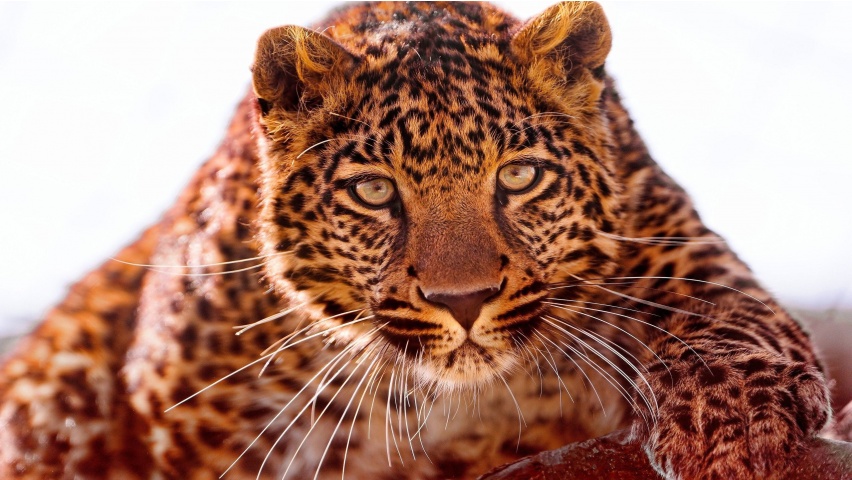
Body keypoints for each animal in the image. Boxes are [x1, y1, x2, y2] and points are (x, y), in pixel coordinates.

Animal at [0, 2, 845, 479]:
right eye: (376, 191)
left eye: (520, 177)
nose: (462, 302)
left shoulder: (655, 223)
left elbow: (717, 304)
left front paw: (733, 423)